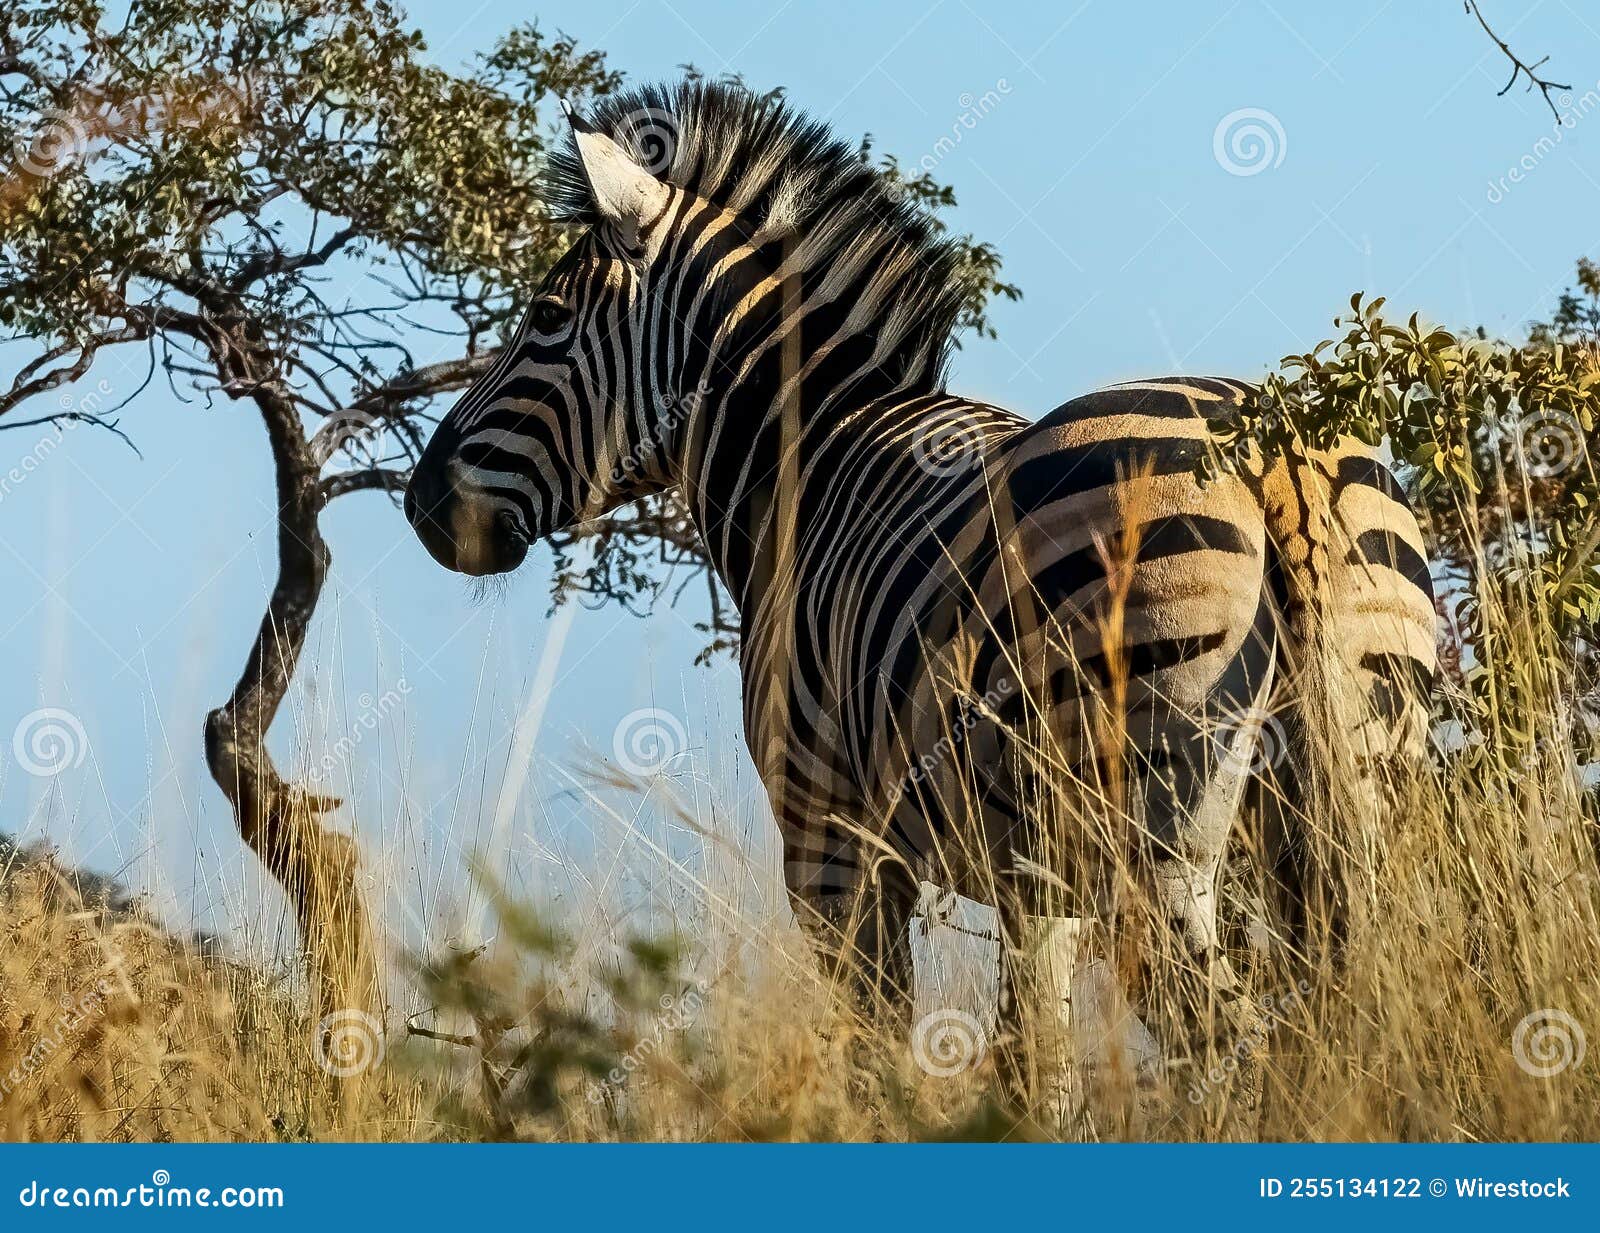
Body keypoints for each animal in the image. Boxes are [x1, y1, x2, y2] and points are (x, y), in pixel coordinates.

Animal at [403, 81, 1437, 1102]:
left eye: (546, 316)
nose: (422, 504)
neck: (810, 462)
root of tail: (1271, 452)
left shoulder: (831, 843)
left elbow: (883, 1055)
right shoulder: (1032, 877)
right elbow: (1030, 1065)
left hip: (1156, 829)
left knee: (1229, 1035)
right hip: (1355, 792)